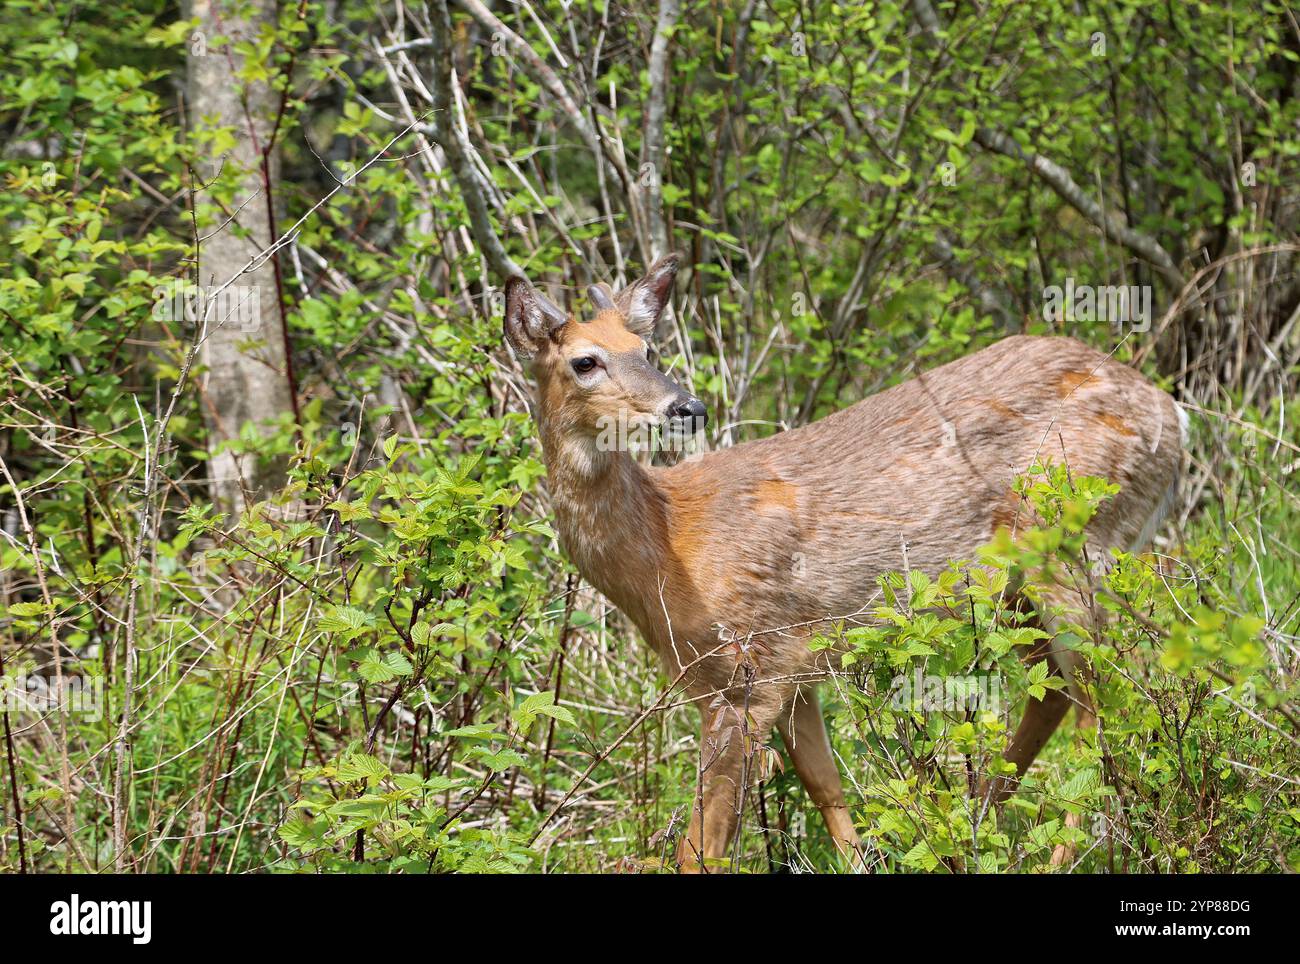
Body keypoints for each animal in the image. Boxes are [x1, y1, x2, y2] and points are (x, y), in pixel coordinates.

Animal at [503, 252, 1186, 872]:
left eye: (647, 348)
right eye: (585, 361)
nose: (686, 407)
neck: (671, 547)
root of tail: (1174, 417)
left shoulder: (747, 673)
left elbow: (701, 849)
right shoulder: (789, 670)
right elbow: (824, 785)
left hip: (1078, 545)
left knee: (1106, 707)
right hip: (1022, 591)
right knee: (1059, 697)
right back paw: (977, 822)